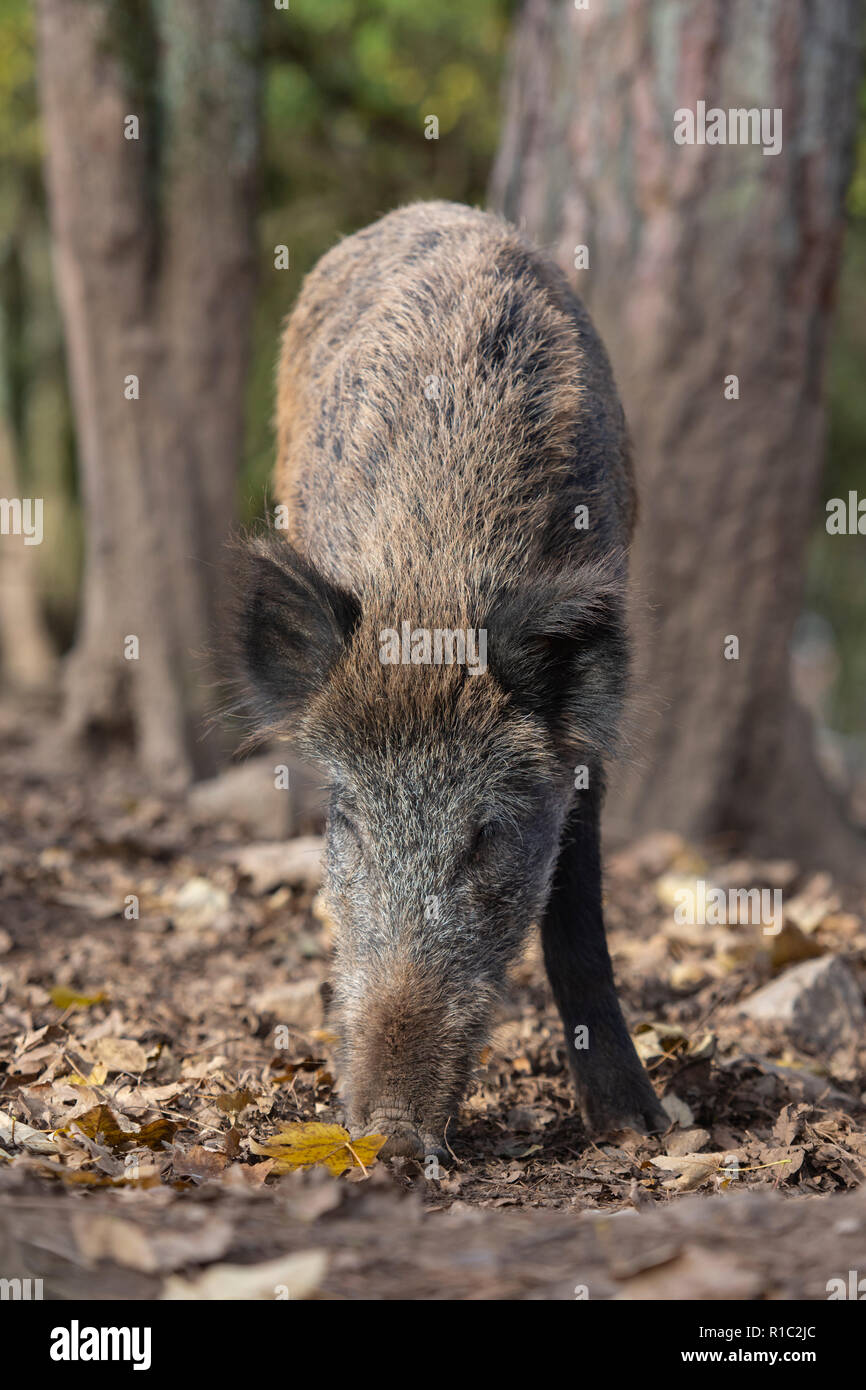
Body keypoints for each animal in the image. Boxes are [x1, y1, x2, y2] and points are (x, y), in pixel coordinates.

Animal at [237, 201, 667, 1159]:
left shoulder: (582, 749)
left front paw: (641, 1130)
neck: (434, 578)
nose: (389, 1136)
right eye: (348, 819)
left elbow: (578, 908)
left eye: (487, 833)